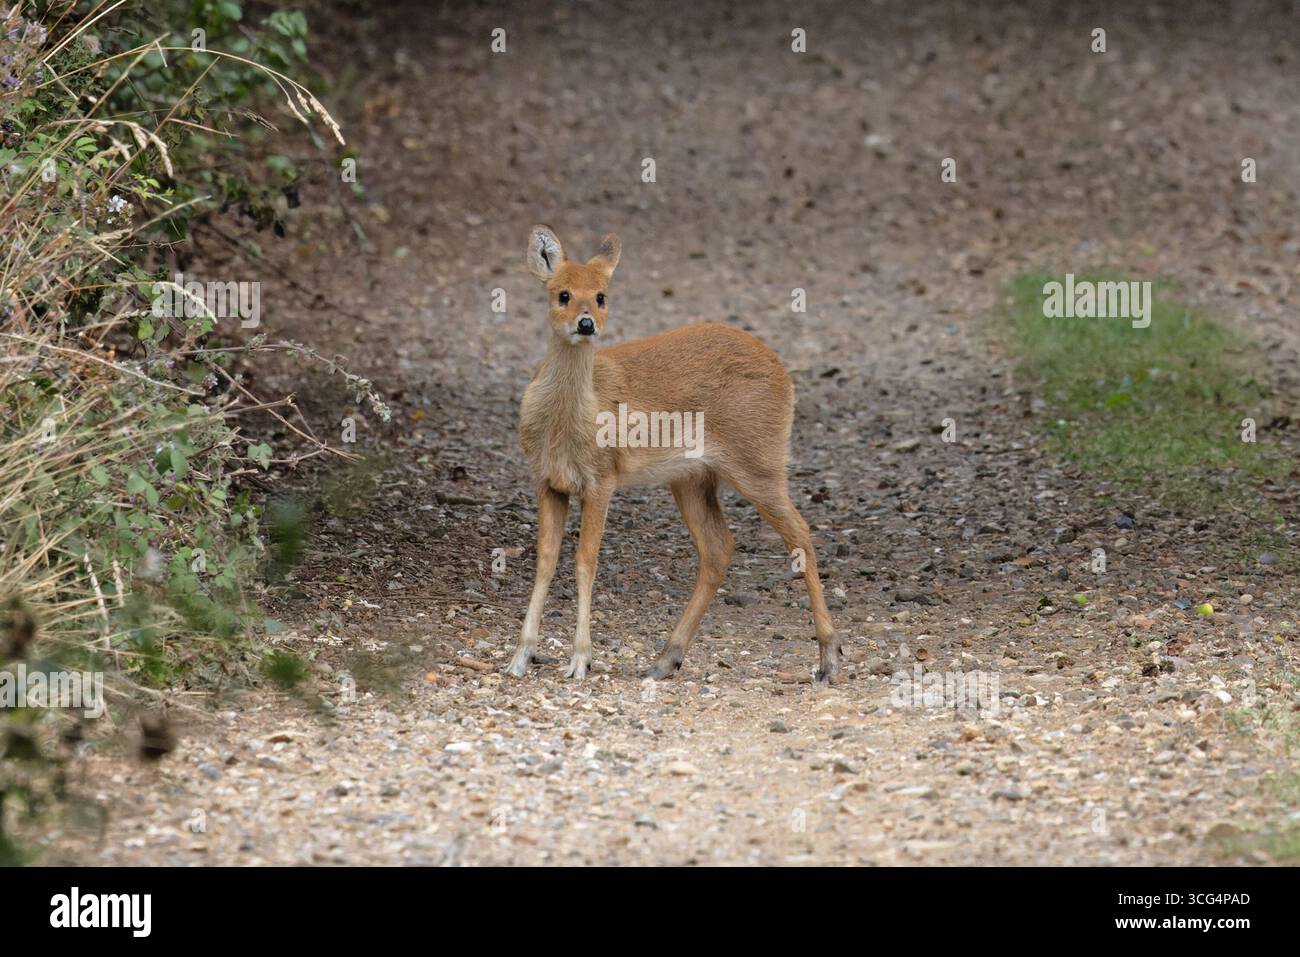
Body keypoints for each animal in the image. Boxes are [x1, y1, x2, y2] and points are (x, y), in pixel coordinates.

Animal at [505, 225, 840, 683]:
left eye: (602, 295)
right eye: (562, 294)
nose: (586, 324)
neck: (568, 420)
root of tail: (783, 373)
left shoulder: (603, 478)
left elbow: (585, 560)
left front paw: (580, 660)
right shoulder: (547, 479)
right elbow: (544, 560)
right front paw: (520, 656)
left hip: (760, 461)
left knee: (801, 532)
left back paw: (828, 657)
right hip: (692, 478)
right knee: (719, 548)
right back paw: (666, 658)